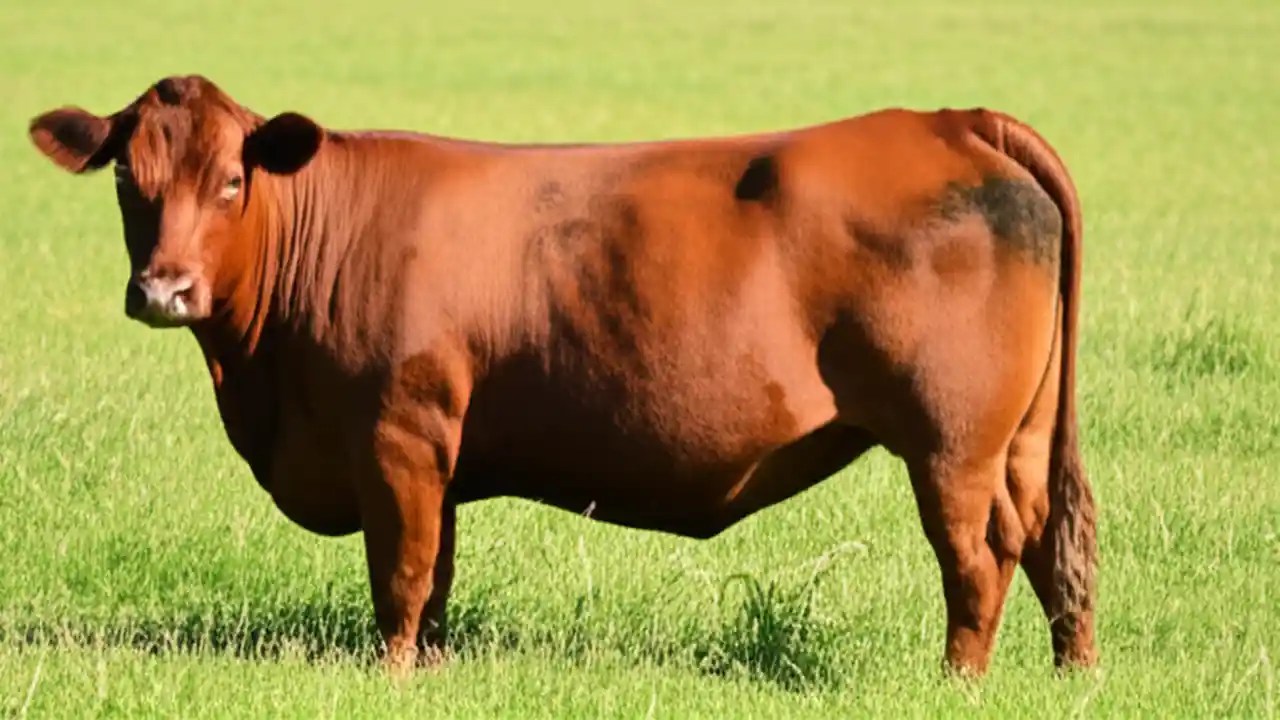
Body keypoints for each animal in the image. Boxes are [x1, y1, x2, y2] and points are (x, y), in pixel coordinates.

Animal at [28, 75, 1097, 676]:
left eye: (231, 182)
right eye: (127, 179)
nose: (164, 289)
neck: (261, 382)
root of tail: (951, 120)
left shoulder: (398, 437)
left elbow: (401, 572)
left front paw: (393, 675)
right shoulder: (435, 457)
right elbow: (436, 574)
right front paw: (434, 671)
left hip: (952, 443)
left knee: (980, 555)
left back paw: (957, 682)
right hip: (1023, 436)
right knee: (1056, 540)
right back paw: (1070, 672)